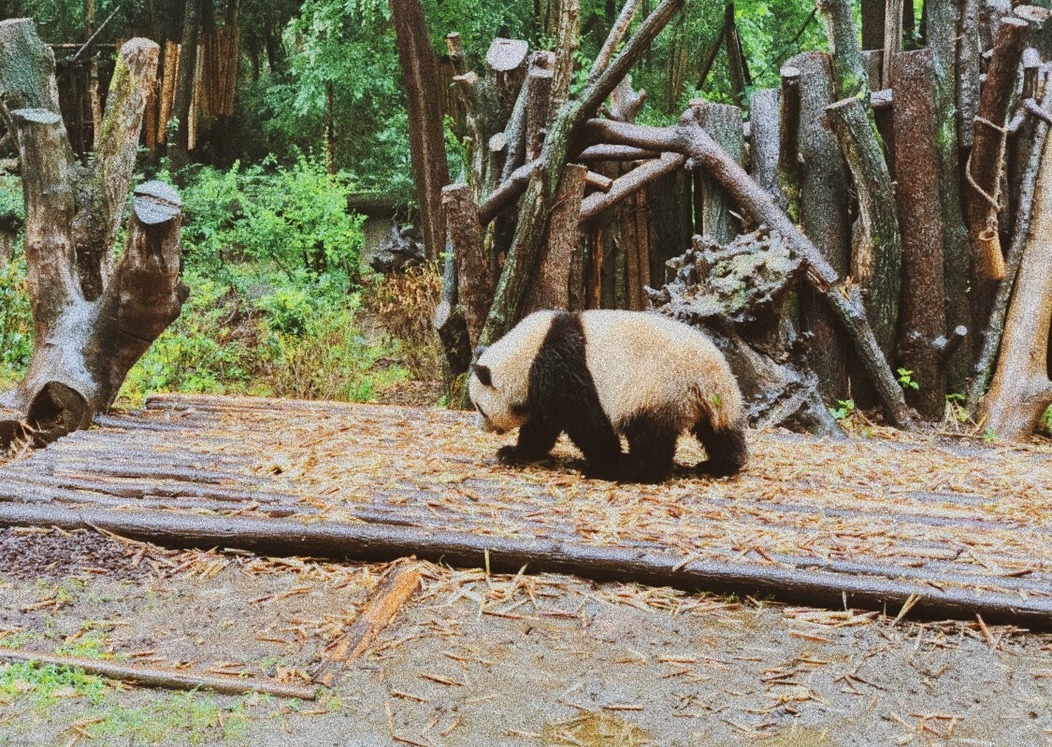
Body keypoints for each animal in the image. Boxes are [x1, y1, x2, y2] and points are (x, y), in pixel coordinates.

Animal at [468, 309, 747, 483]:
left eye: (479, 407)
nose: (480, 426)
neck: (526, 356)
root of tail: (708, 372)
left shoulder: (560, 368)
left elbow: (585, 424)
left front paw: (606, 462)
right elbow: (542, 426)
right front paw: (514, 452)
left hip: (657, 388)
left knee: (651, 438)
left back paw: (629, 471)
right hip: (713, 400)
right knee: (719, 431)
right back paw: (720, 465)